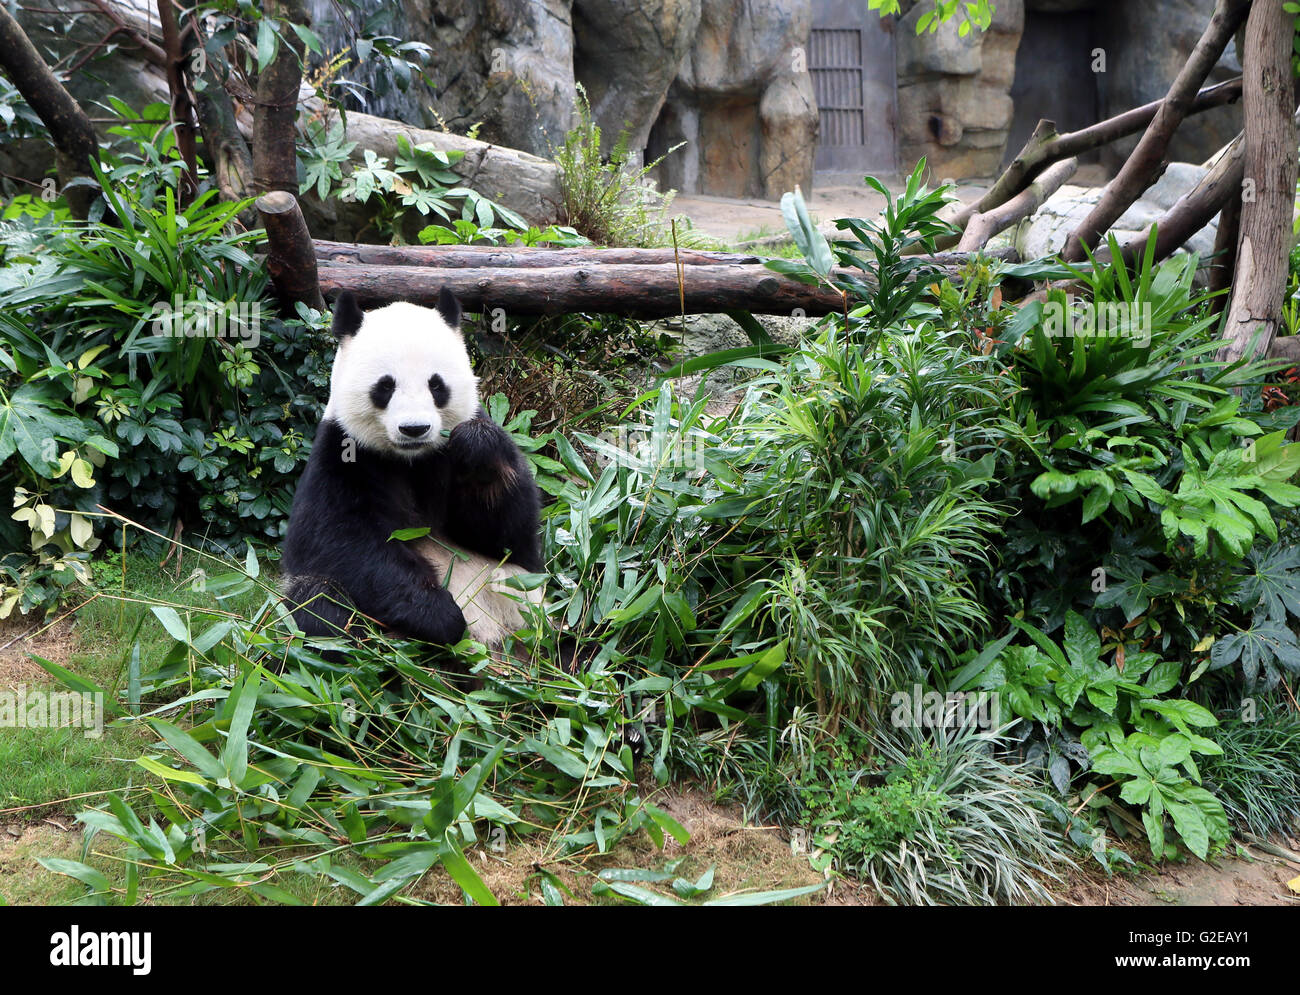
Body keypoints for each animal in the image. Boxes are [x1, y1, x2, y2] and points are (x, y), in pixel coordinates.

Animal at [280, 288, 544, 652]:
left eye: (436, 385)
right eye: (385, 386)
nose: (414, 429)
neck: (411, 460)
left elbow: (509, 537)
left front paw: (476, 447)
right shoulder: (342, 455)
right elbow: (343, 540)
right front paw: (439, 615)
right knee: (320, 606)